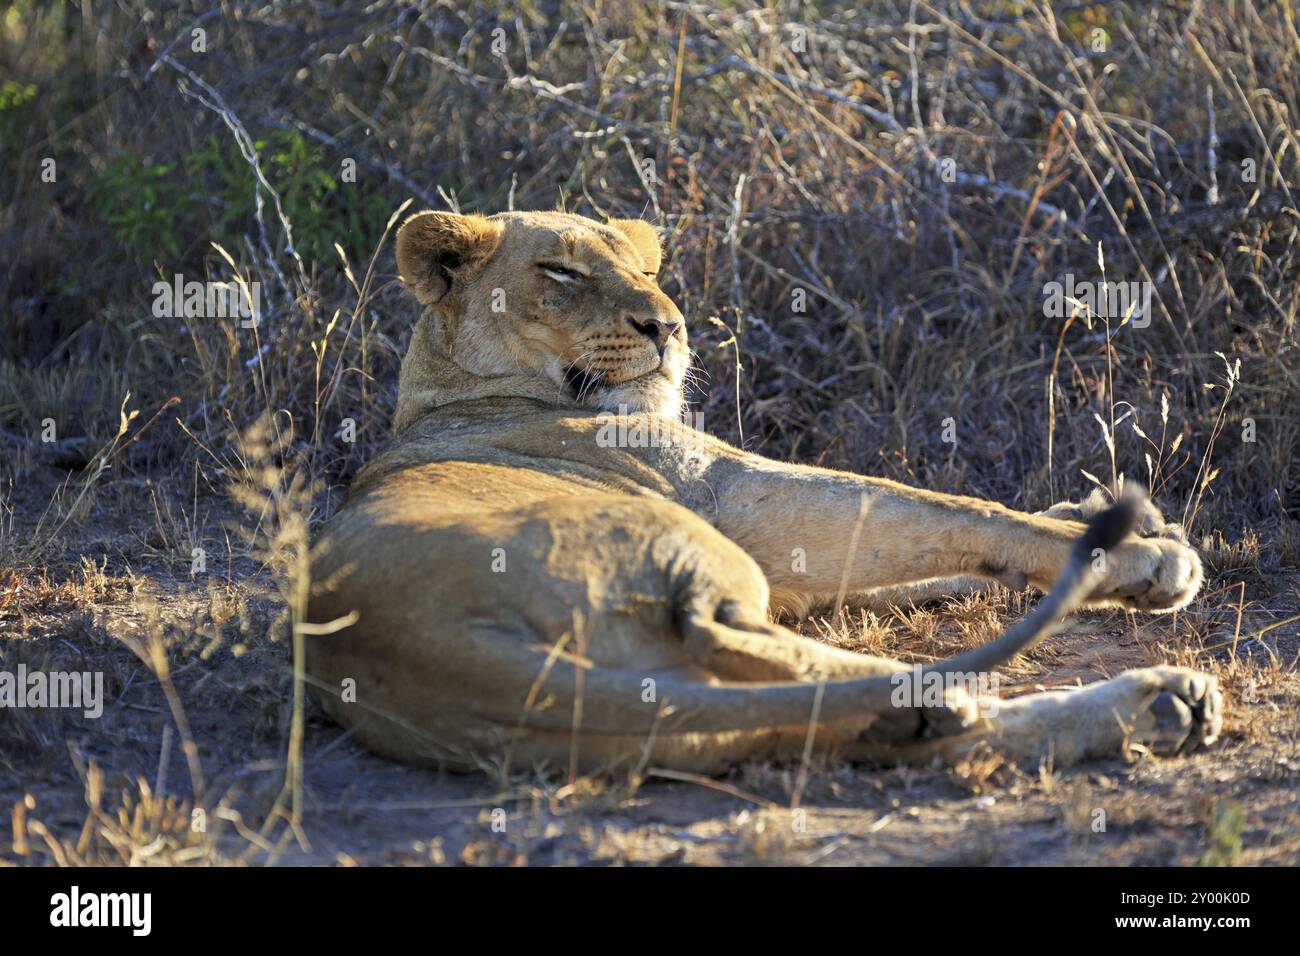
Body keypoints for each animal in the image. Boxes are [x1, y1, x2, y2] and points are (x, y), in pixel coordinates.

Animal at [304, 208, 1222, 776]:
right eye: (561, 271)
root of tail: (412, 640)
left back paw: (1158, 710)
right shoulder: (728, 489)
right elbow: (925, 505)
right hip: (691, 562)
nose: (669, 326)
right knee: (755, 641)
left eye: (645, 268)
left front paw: (1086, 521)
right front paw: (1143, 556)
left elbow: (926, 553)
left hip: (685, 723)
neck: (452, 396)